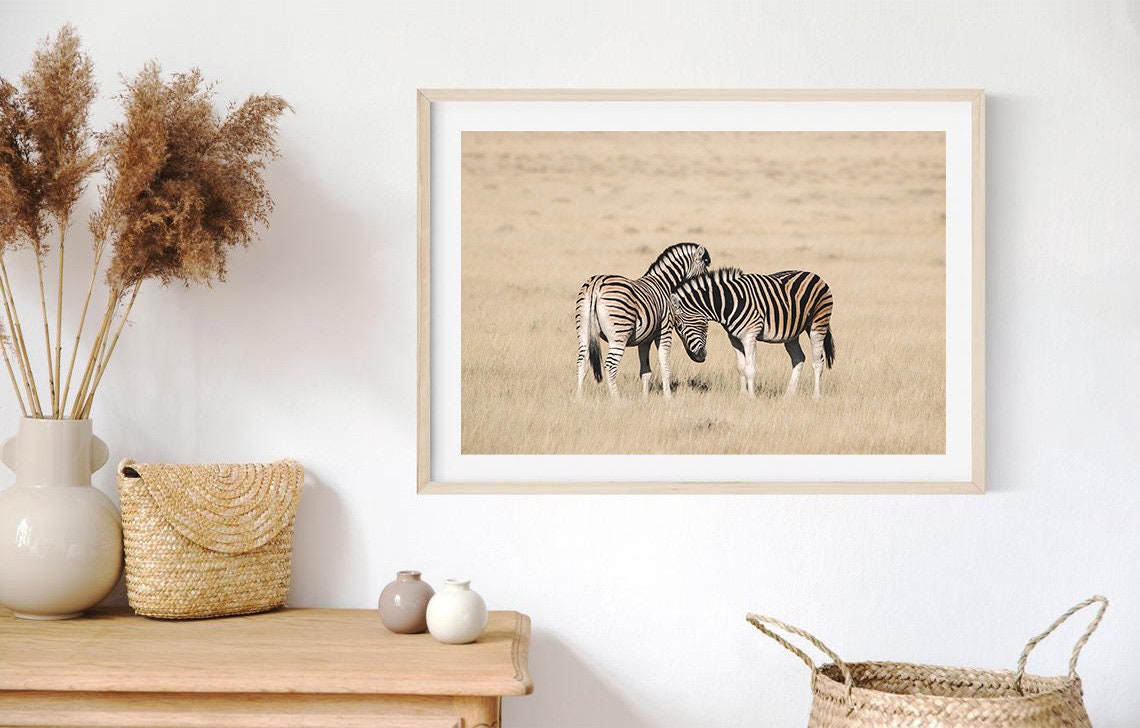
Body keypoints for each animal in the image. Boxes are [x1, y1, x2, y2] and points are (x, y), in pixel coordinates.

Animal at [576, 243, 711, 399]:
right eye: (703, 272)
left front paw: (645, 398)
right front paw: (668, 397)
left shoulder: (644, 340)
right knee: (610, 366)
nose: (702, 355)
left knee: (582, 363)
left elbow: (645, 371)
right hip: (619, 334)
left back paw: (579, 398)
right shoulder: (664, 331)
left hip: (584, 332)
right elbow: (665, 366)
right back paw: (616, 399)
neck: (664, 284)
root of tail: (595, 286)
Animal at [669, 268, 835, 398]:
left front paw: (751, 398)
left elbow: (750, 369)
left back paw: (816, 396)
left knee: (818, 362)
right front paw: (743, 395)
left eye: (680, 327)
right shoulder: (734, 338)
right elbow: (741, 367)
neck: (728, 302)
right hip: (791, 334)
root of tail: (815, 275)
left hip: (817, 325)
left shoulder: (749, 336)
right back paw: (788, 395)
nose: (697, 357)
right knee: (798, 358)